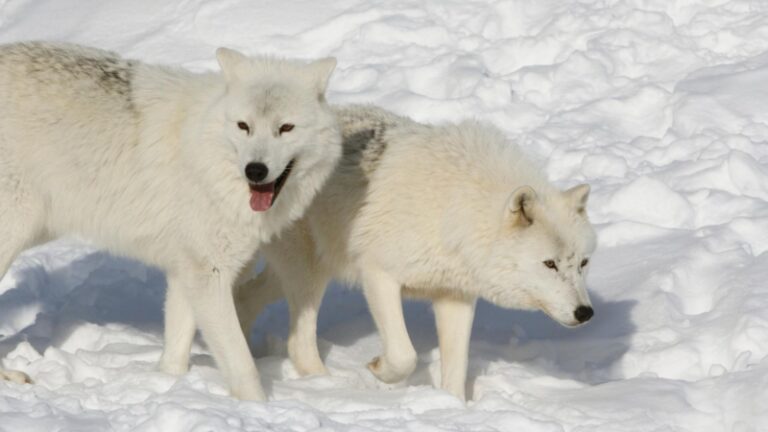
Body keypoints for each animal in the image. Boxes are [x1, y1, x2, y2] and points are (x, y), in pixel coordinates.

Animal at [0, 42, 341, 400]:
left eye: (285, 128)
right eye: (243, 126)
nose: (255, 170)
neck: (209, 164)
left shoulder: (186, 271)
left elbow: (176, 349)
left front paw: (170, 385)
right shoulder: (209, 274)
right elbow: (242, 364)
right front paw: (257, 406)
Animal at [236, 105, 596, 400]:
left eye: (583, 263)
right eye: (549, 264)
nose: (585, 313)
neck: (455, 210)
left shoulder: (455, 296)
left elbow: (456, 370)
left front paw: (452, 407)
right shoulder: (378, 275)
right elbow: (404, 355)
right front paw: (378, 369)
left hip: (299, 272)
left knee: (245, 297)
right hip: (308, 273)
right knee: (298, 343)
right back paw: (329, 388)